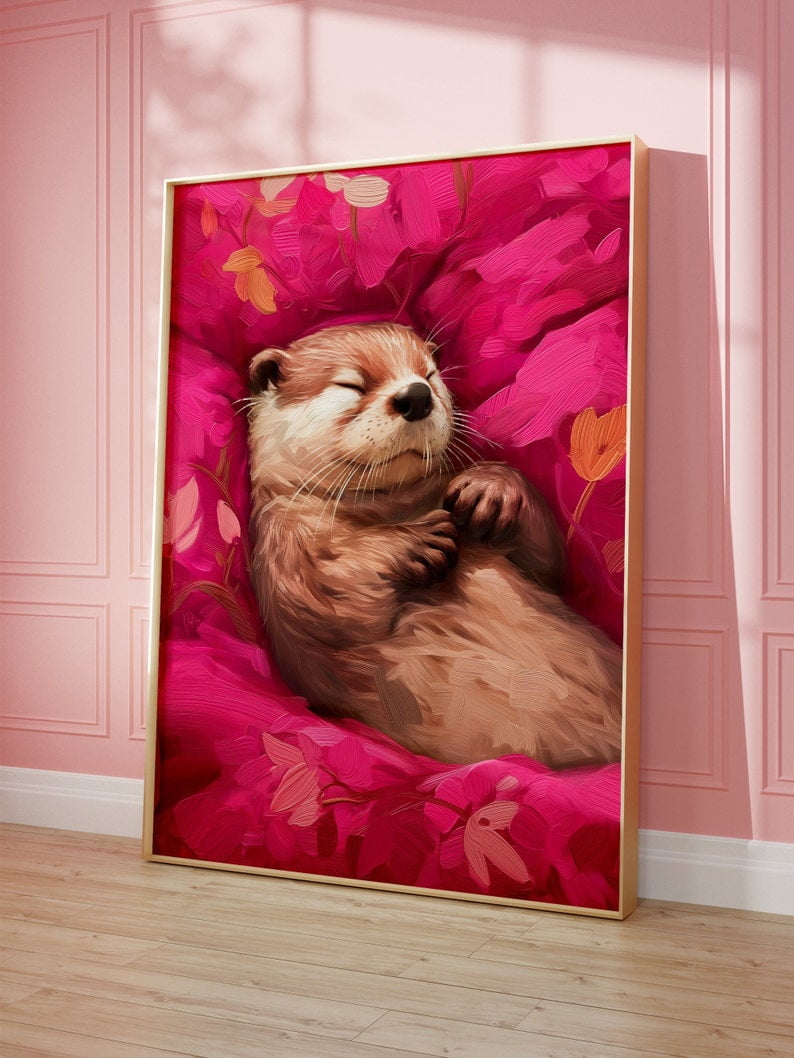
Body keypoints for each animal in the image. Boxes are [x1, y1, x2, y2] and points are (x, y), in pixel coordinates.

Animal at [247, 322, 623, 767]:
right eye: (351, 384)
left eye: (428, 374)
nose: (416, 396)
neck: (392, 509)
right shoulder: (283, 550)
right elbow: (326, 597)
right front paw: (416, 543)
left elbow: (548, 562)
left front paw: (490, 487)